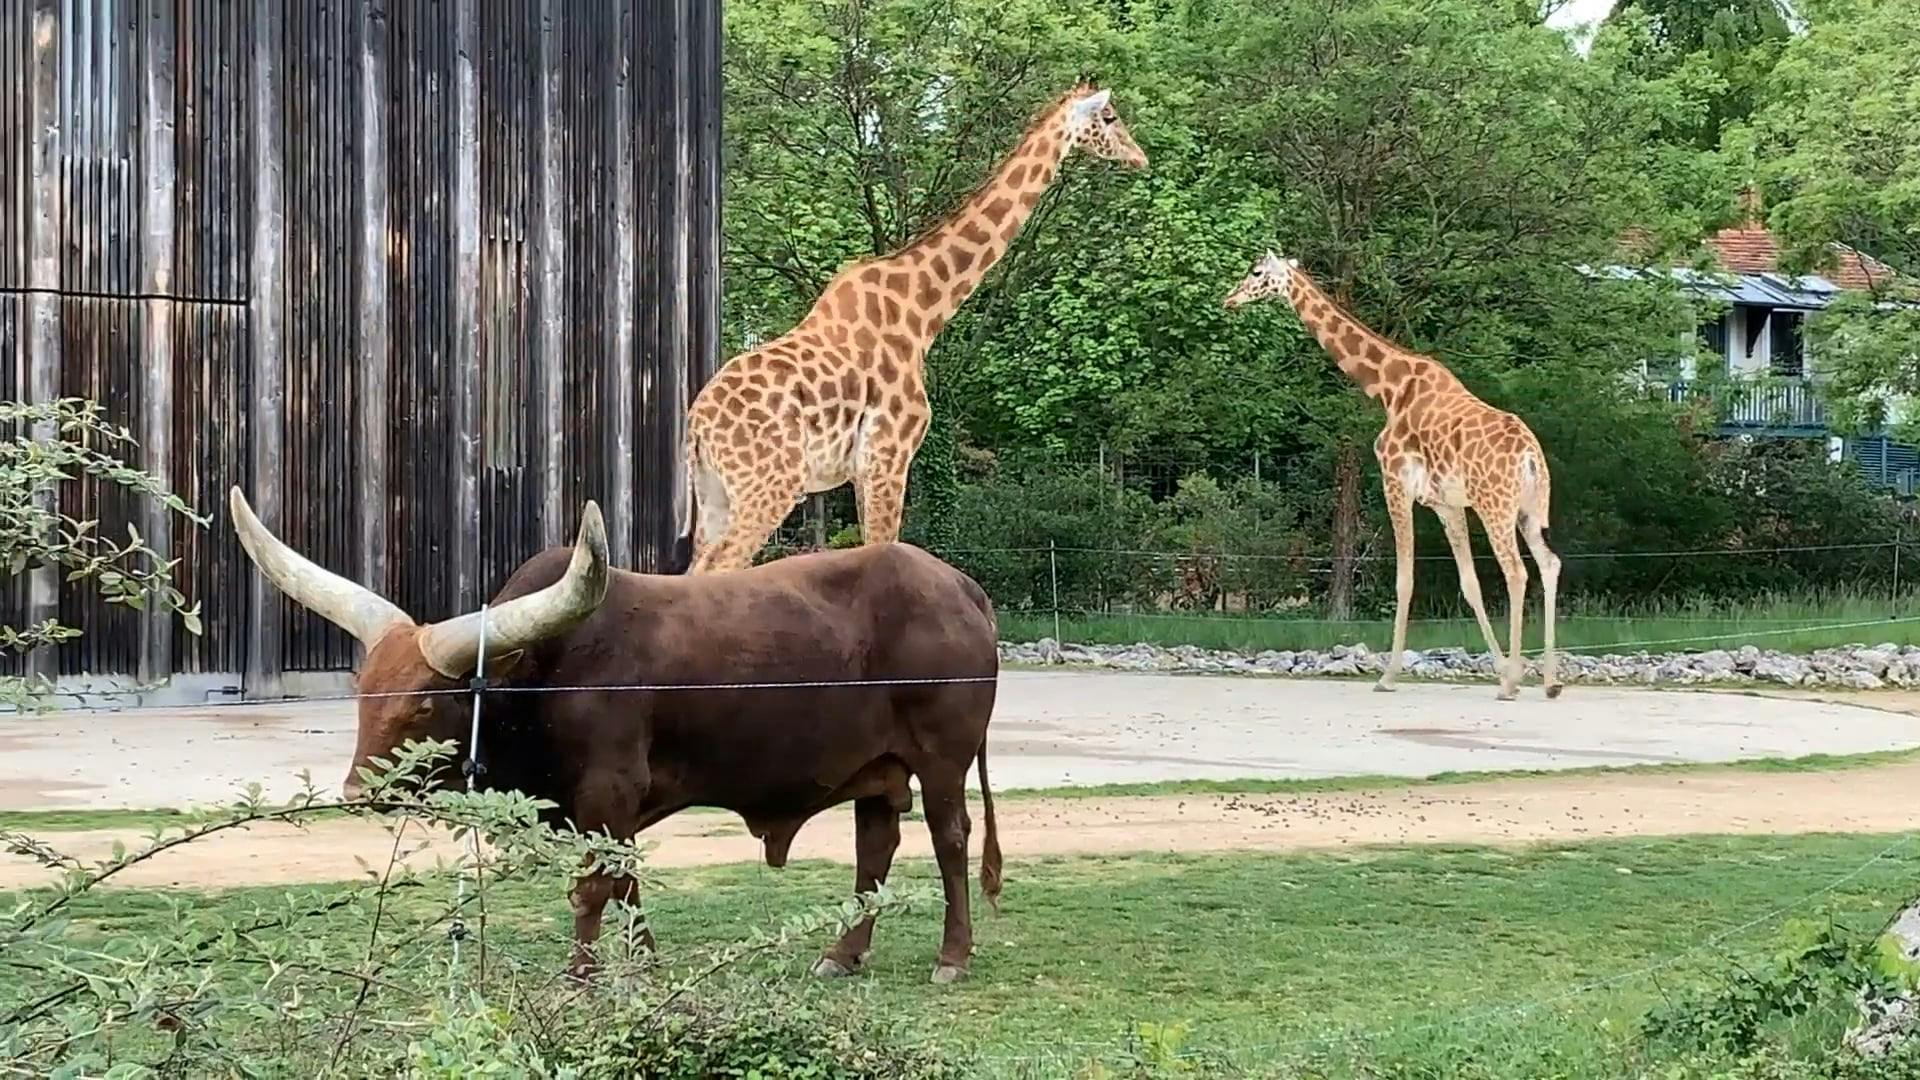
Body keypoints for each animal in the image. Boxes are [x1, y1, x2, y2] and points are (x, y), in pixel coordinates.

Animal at [684, 83, 1148, 574]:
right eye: (1111, 117)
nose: (1140, 157)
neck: (923, 311)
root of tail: (697, 426)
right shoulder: (890, 454)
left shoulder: (868, 467)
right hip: (770, 484)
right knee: (721, 567)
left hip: (716, 494)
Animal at [1224, 250, 1562, 701]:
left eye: (1256, 272)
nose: (1229, 299)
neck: (1388, 388)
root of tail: (1529, 457)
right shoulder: (1444, 503)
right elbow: (1469, 583)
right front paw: (1501, 667)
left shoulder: (1395, 483)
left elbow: (1405, 580)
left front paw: (1387, 676)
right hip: (1529, 510)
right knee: (1549, 563)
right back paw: (1551, 681)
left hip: (1496, 508)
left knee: (1517, 572)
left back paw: (1512, 686)